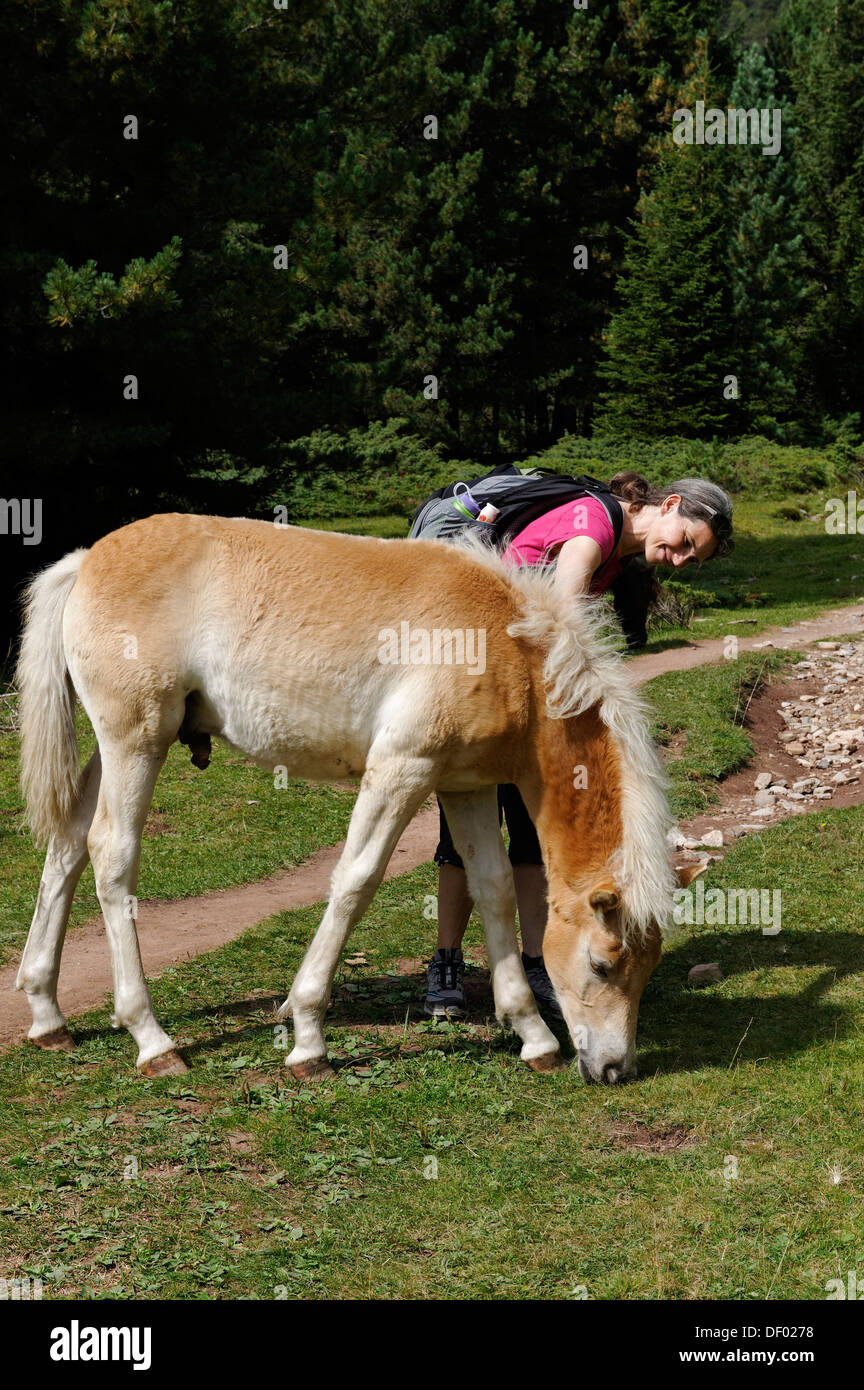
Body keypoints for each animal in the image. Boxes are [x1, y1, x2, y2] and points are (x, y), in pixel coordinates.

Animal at [15, 513, 687, 1082]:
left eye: (648, 966)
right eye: (602, 964)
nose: (615, 1069)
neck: (505, 646)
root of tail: (87, 560)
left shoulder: (464, 785)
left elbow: (492, 888)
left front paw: (533, 1036)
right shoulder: (400, 772)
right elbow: (355, 882)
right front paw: (307, 1036)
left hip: (122, 748)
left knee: (69, 841)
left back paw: (47, 1015)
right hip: (136, 742)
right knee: (111, 853)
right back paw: (153, 1040)